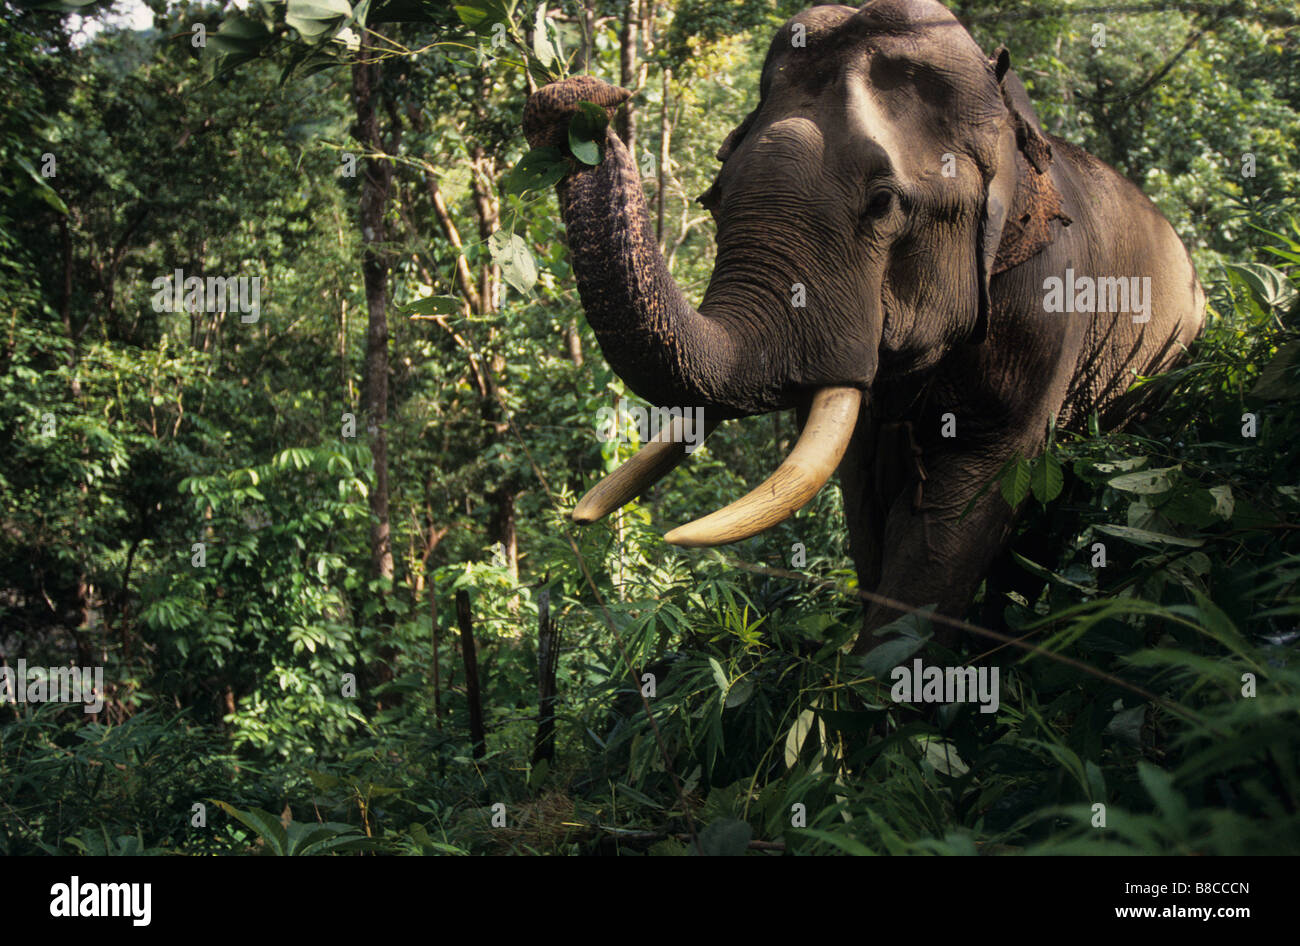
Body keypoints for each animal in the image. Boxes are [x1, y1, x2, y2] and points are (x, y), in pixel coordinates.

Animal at [521, 0, 1205, 653]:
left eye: (882, 204)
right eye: (712, 200)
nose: (586, 99)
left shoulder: (1042, 301)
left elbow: (974, 486)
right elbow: (862, 490)